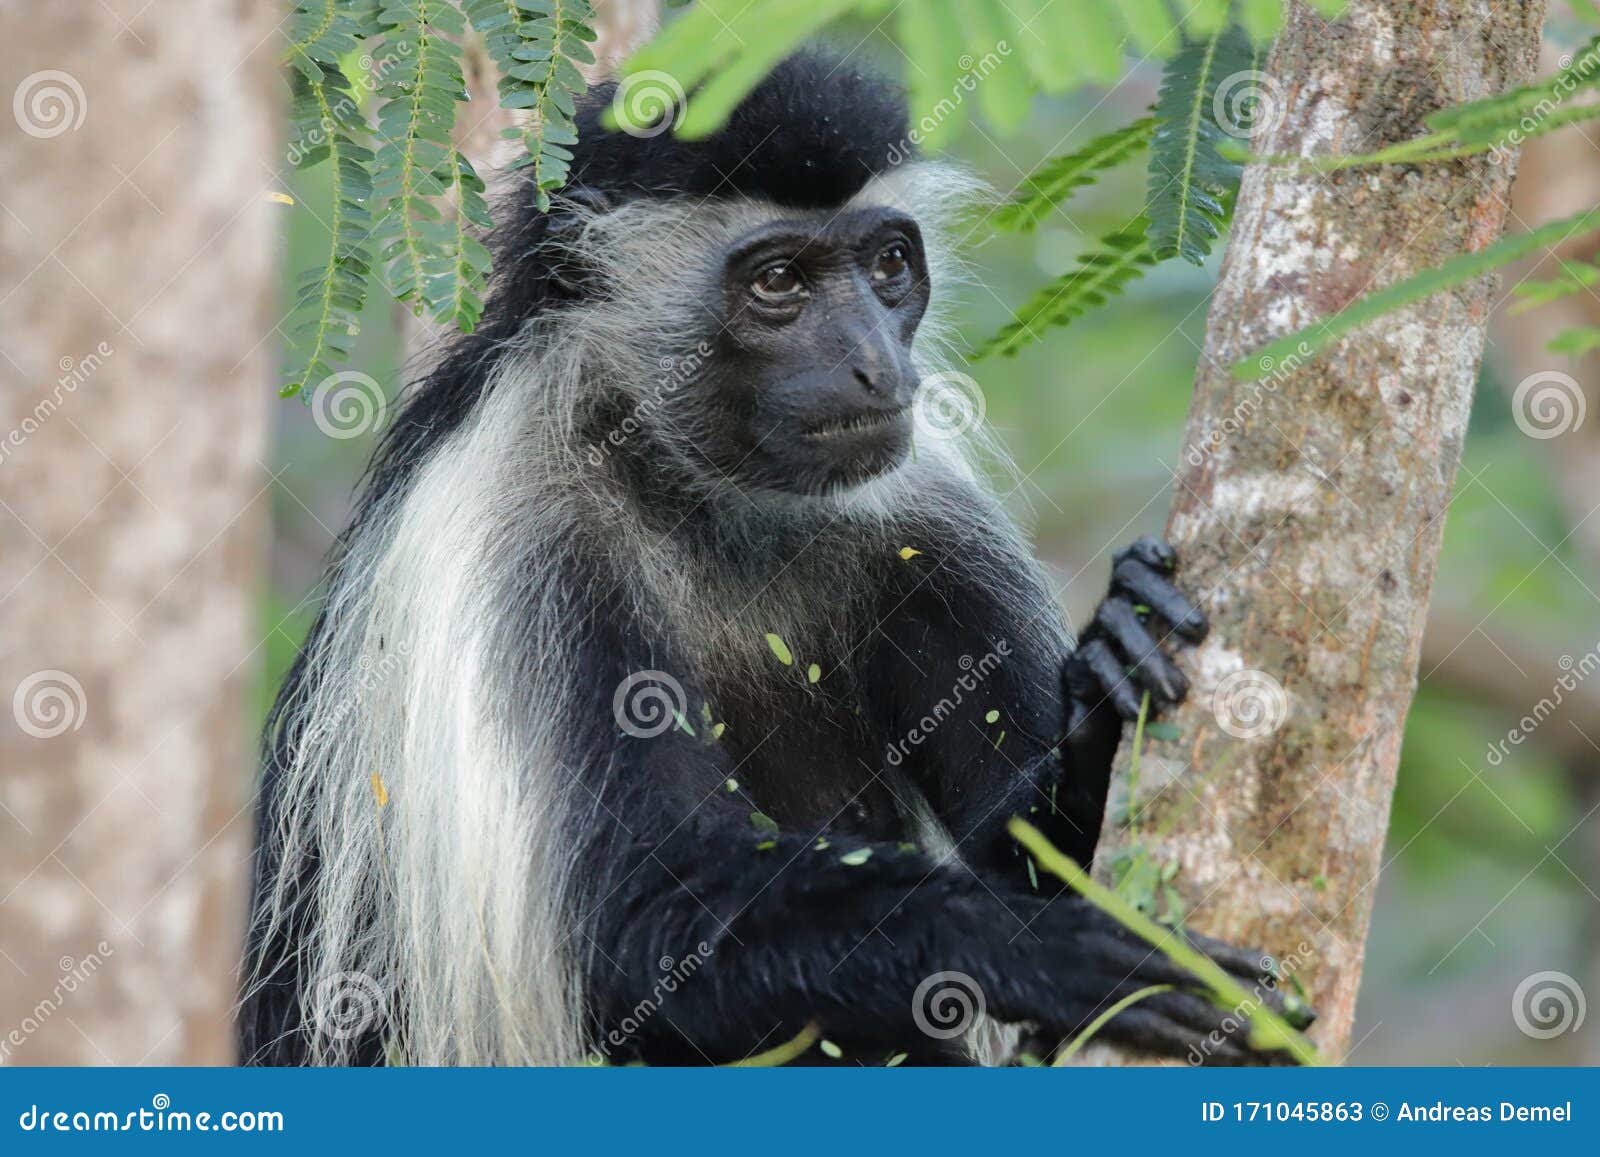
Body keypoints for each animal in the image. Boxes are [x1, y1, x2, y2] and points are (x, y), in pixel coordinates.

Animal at [240, 50, 1308, 1067]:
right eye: (779, 283)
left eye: (888, 265)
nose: (877, 363)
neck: (699, 497)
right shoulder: (524, 544)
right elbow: (641, 927)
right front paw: (1038, 950)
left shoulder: (927, 520)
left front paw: (1111, 666)